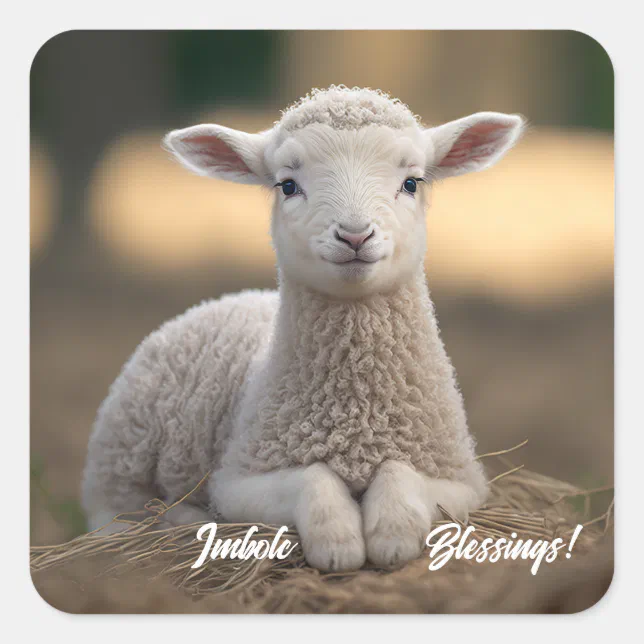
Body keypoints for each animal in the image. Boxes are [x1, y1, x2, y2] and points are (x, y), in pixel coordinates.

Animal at [82, 86, 525, 571]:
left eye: (412, 182)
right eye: (288, 185)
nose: (354, 236)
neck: (356, 419)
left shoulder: (459, 481)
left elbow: (400, 475)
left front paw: (391, 536)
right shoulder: (239, 481)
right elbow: (312, 479)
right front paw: (338, 543)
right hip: (119, 457)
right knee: (114, 515)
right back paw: (179, 517)